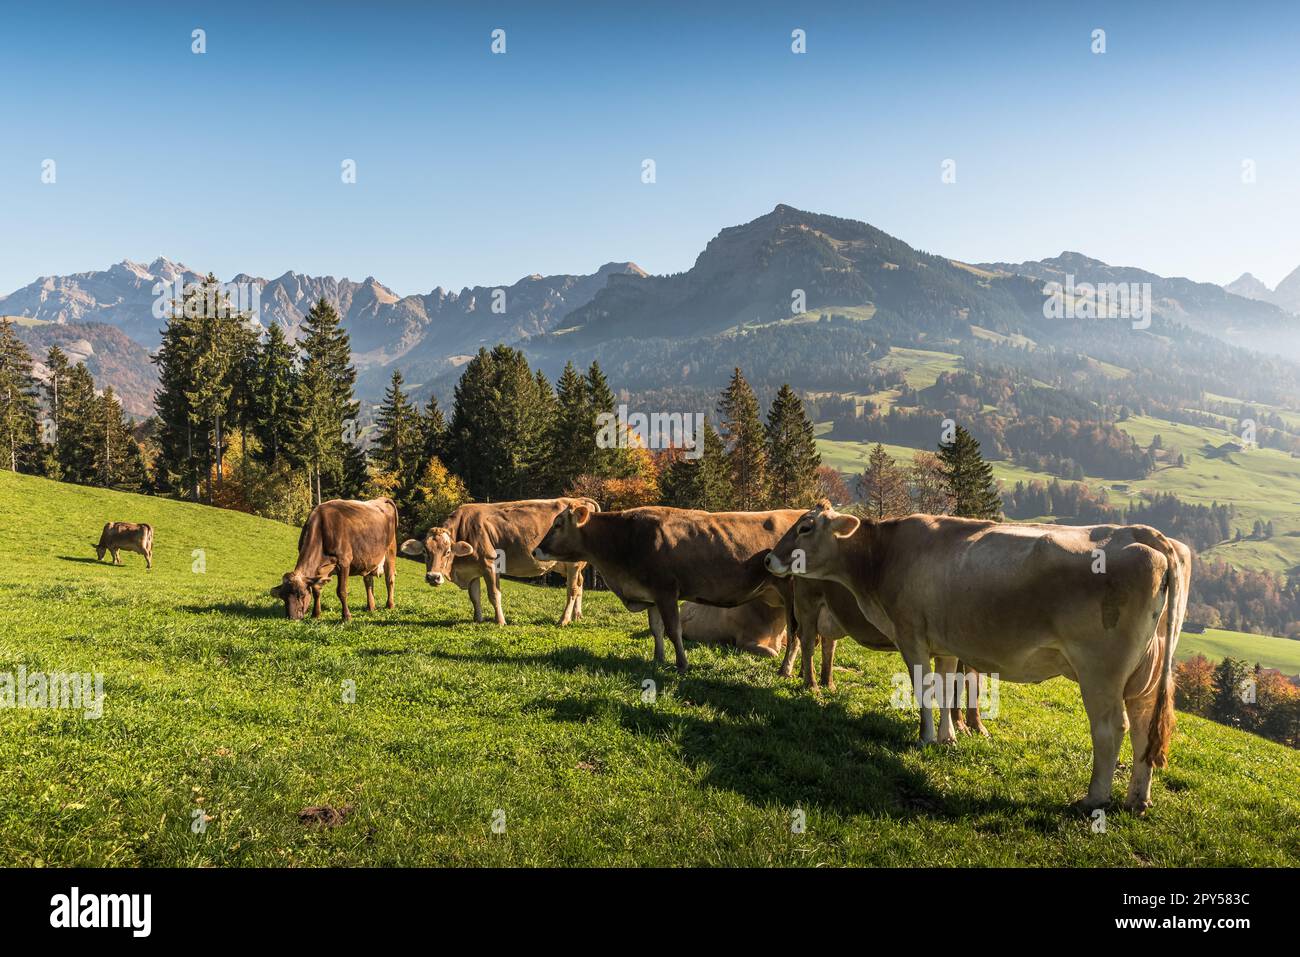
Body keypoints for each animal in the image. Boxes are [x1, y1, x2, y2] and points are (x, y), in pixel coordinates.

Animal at [399, 498, 598, 626]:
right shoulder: (472, 570)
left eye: (448, 552)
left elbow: (494, 595)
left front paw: (500, 621)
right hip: (566, 565)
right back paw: (577, 616)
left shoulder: (490, 564)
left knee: (572, 590)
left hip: (573, 564)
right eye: (425, 552)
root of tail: (579, 499)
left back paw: (563, 620)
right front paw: (478, 619)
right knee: (580, 585)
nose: (433, 577)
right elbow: (474, 596)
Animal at [532, 505, 806, 673]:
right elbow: (657, 630)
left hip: (792, 594)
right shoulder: (651, 595)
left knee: (795, 633)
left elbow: (674, 630)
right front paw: (658, 659)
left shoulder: (666, 591)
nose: (536, 550)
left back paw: (786, 670)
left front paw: (682, 664)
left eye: (558, 524)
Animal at [764, 507, 1189, 811]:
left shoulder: (910, 634)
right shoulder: (946, 645)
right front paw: (948, 738)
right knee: (1142, 728)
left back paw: (1094, 799)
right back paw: (1137, 799)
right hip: (1145, 673)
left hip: (1100, 670)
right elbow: (945, 689)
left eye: (805, 528)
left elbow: (924, 692)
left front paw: (925, 738)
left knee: (1110, 728)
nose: (770, 559)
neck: (882, 557)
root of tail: (1142, 532)